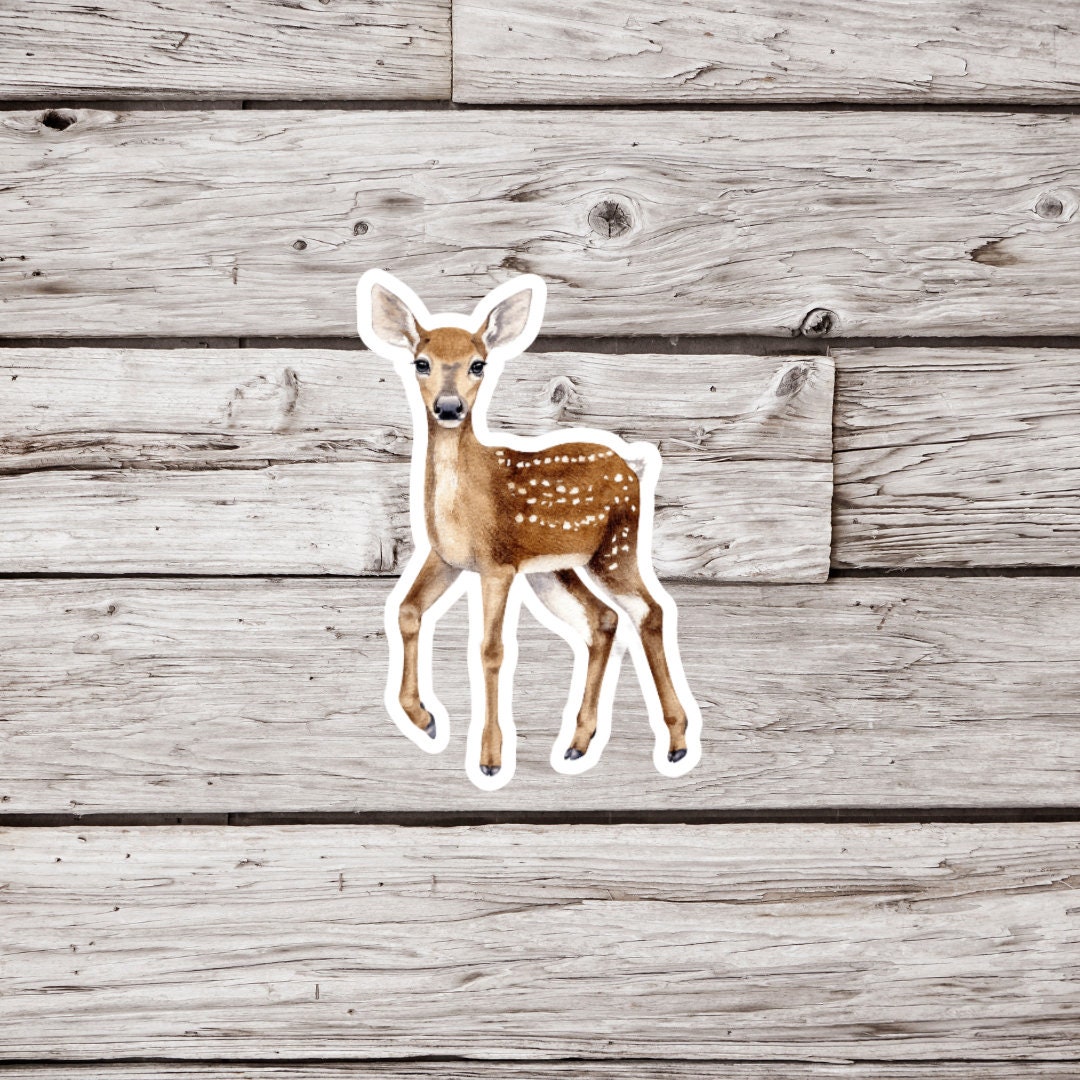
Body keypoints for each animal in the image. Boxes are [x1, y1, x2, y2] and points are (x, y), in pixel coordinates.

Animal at [357, 269, 701, 789]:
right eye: (421, 362)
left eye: (478, 364)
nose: (449, 407)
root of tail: (635, 466)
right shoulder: (446, 557)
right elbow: (407, 611)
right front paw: (424, 717)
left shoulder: (497, 564)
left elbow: (491, 650)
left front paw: (491, 758)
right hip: (554, 569)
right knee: (604, 619)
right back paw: (579, 743)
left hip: (616, 547)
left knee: (651, 610)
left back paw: (677, 743)